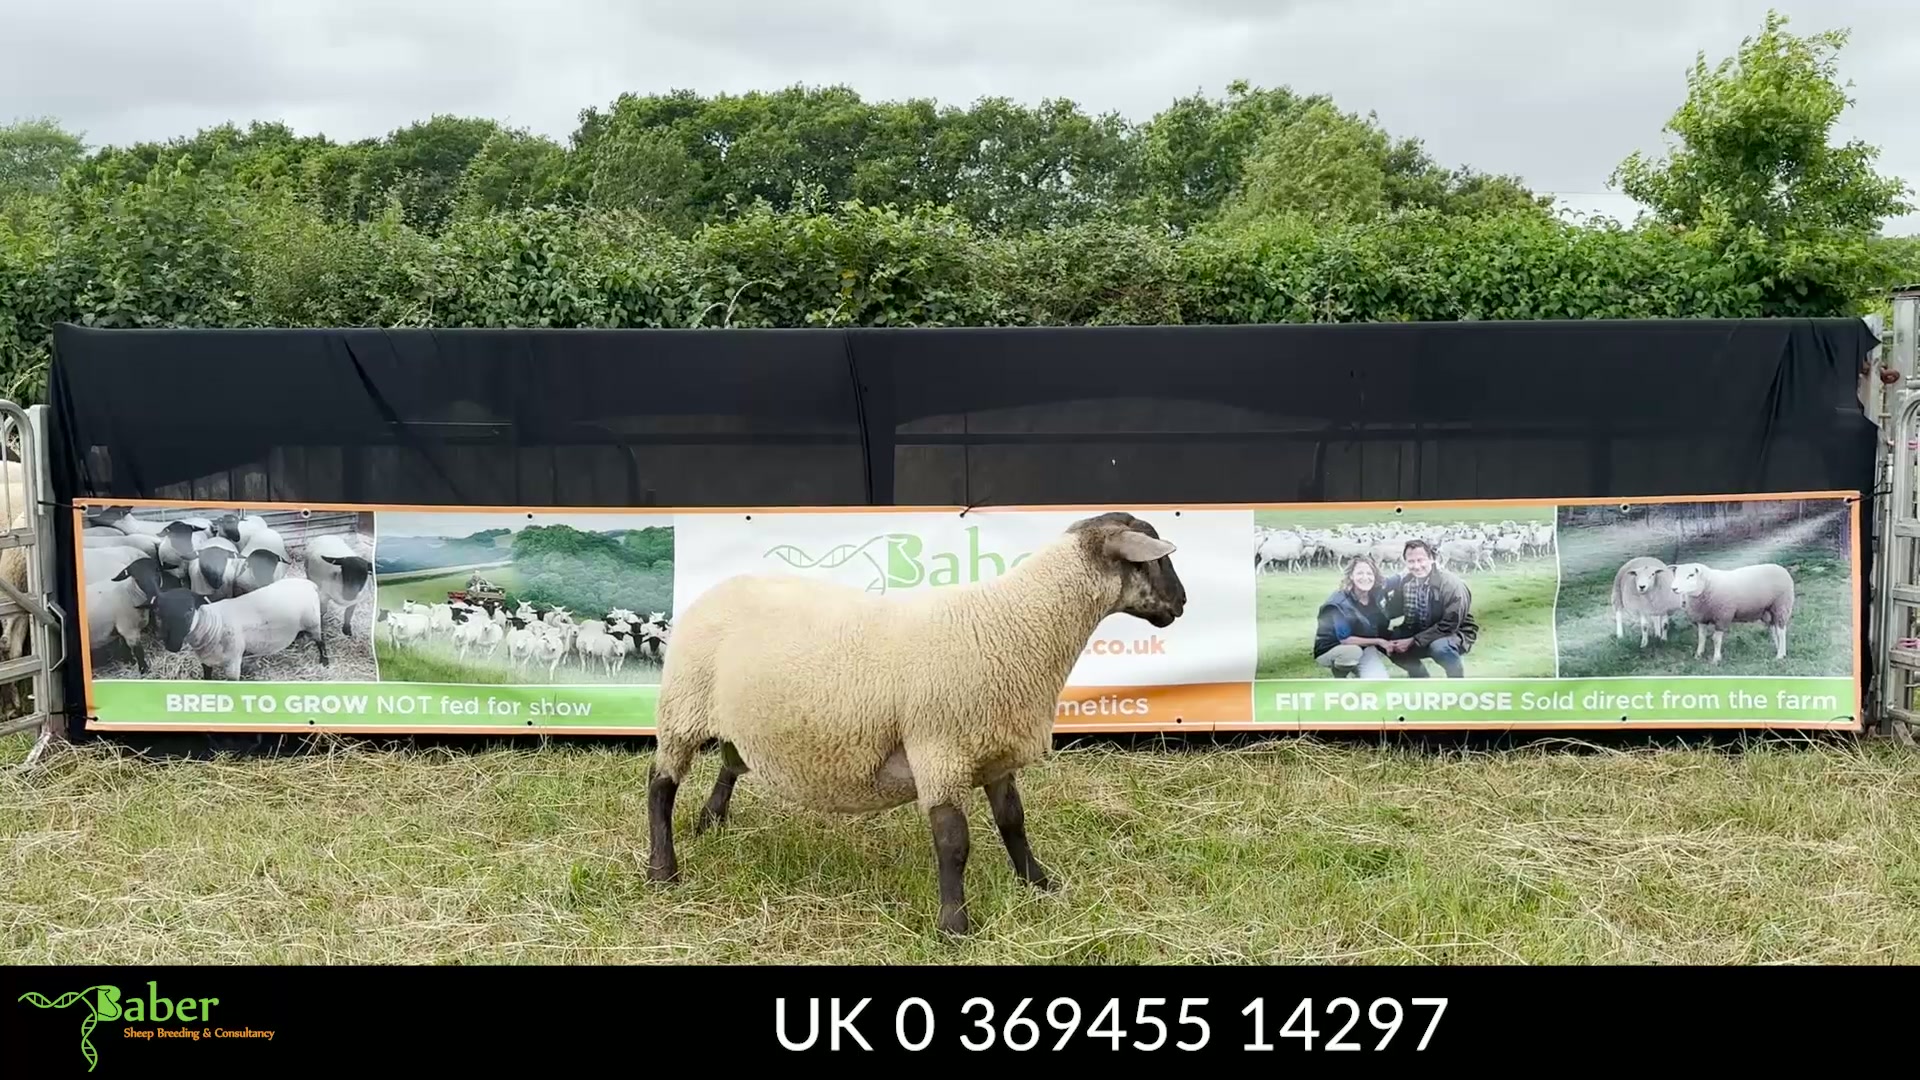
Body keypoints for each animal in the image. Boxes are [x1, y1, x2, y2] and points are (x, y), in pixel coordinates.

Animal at [151, 577, 329, 680]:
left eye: (189, 610)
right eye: (159, 613)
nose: (172, 645)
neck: (212, 623)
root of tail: (309, 583)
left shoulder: (233, 662)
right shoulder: (205, 660)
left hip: (313, 621)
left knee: (321, 642)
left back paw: (325, 662)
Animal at [644, 510, 1187, 936]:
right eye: (1155, 558)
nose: (1181, 604)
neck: (1015, 621)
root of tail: (715, 589)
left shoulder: (994, 752)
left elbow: (1013, 822)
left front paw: (1039, 883)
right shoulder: (939, 750)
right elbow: (953, 843)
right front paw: (955, 926)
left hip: (740, 714)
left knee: (732, 760)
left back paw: (710, 822)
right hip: (683, 707)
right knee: (661, 782)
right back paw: (662, 870)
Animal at [1668, 561, 1796, 664]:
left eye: (1691, 575)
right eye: (1676, 574)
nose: (1674, 588)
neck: (1706, 586)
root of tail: (1781, 568)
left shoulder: (1722, 616)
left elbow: (1716, 639)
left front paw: (1716, 659)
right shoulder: (1702, 618)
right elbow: (1701, 637)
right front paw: (1698, 655)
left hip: (1781, 605)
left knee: (1781, 631)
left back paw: (1780, 655)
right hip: (1768, 611)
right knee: (1774, 631)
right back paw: (1779, 649)